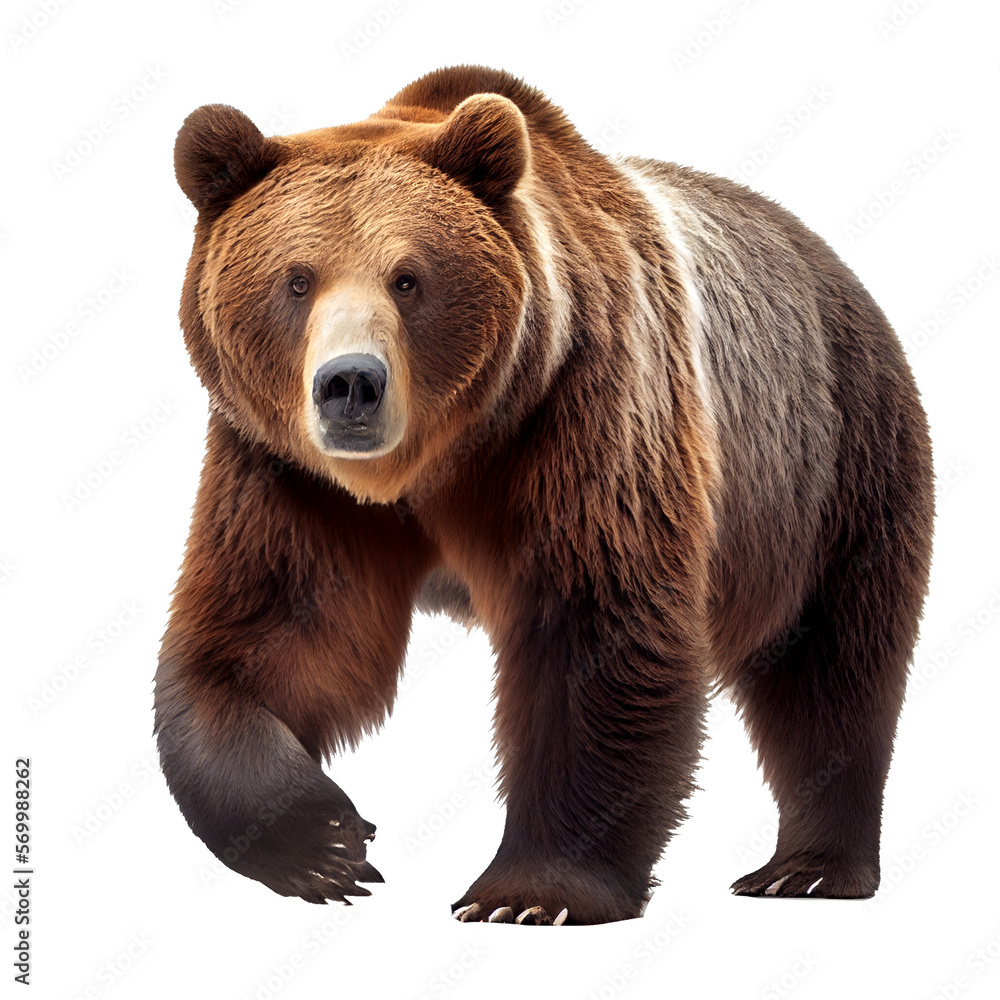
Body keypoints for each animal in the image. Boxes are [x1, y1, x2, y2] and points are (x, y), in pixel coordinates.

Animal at [155, 65, 934, 925]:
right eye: (296, 278)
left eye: (408, 277)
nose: (349, 384)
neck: (436, 464)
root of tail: (837, 269)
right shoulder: (288, 474)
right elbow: (274, 631)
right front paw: (324, 842)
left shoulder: (586, 410)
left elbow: (597, 630)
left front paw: (530, 892)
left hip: (830, 465)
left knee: (831, 667)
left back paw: (808, 868)